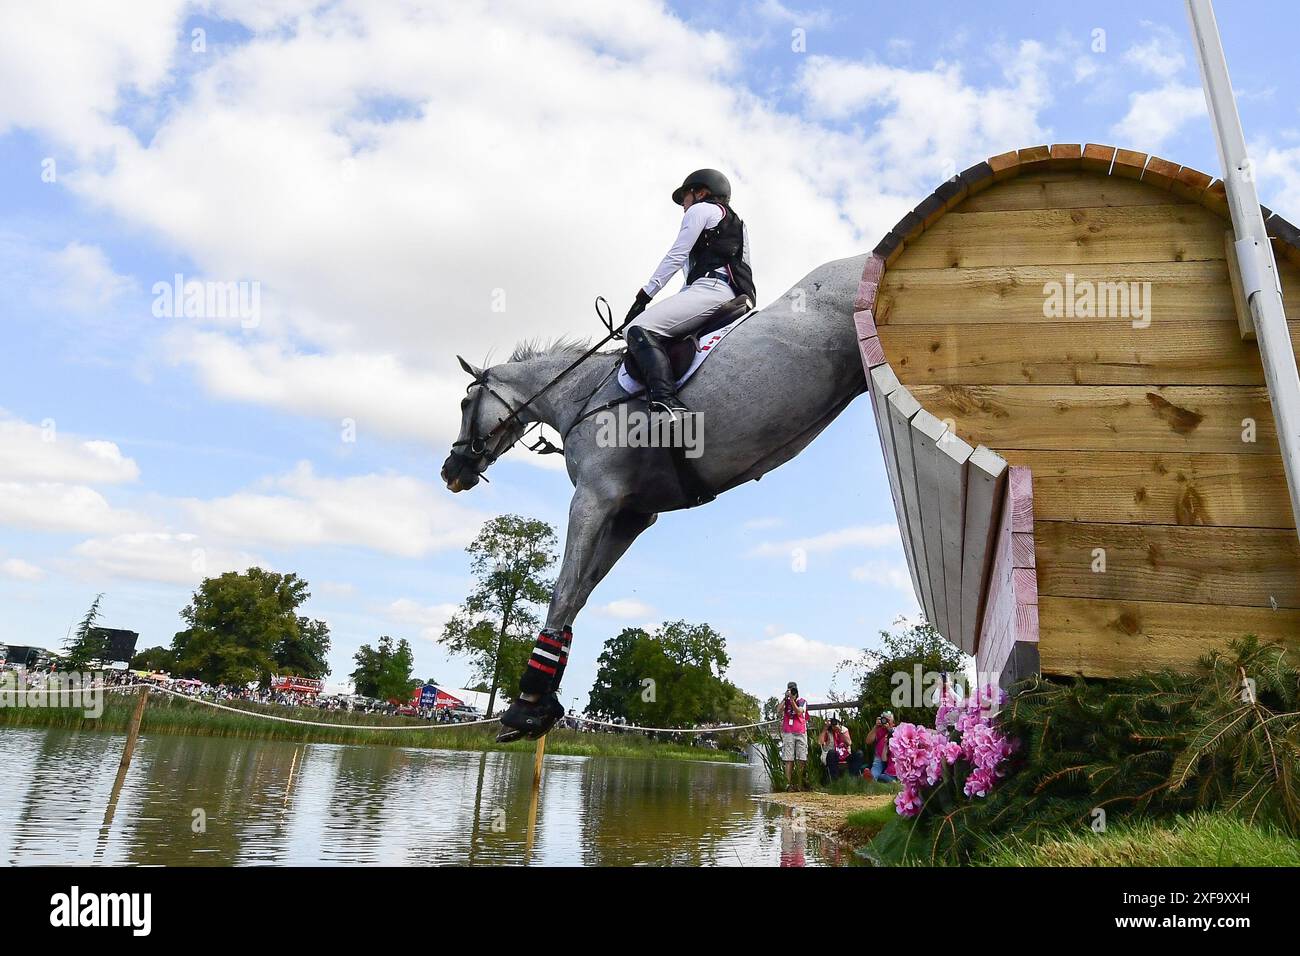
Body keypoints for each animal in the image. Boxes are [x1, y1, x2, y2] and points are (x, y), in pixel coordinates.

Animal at [440, 253, 869, 739]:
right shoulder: (631, 515)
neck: (580, 394)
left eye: (463, 405)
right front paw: (543, 704)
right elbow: (577, 600)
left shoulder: (593, 498)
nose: (451, 471)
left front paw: (525, 708)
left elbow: (562, 594)